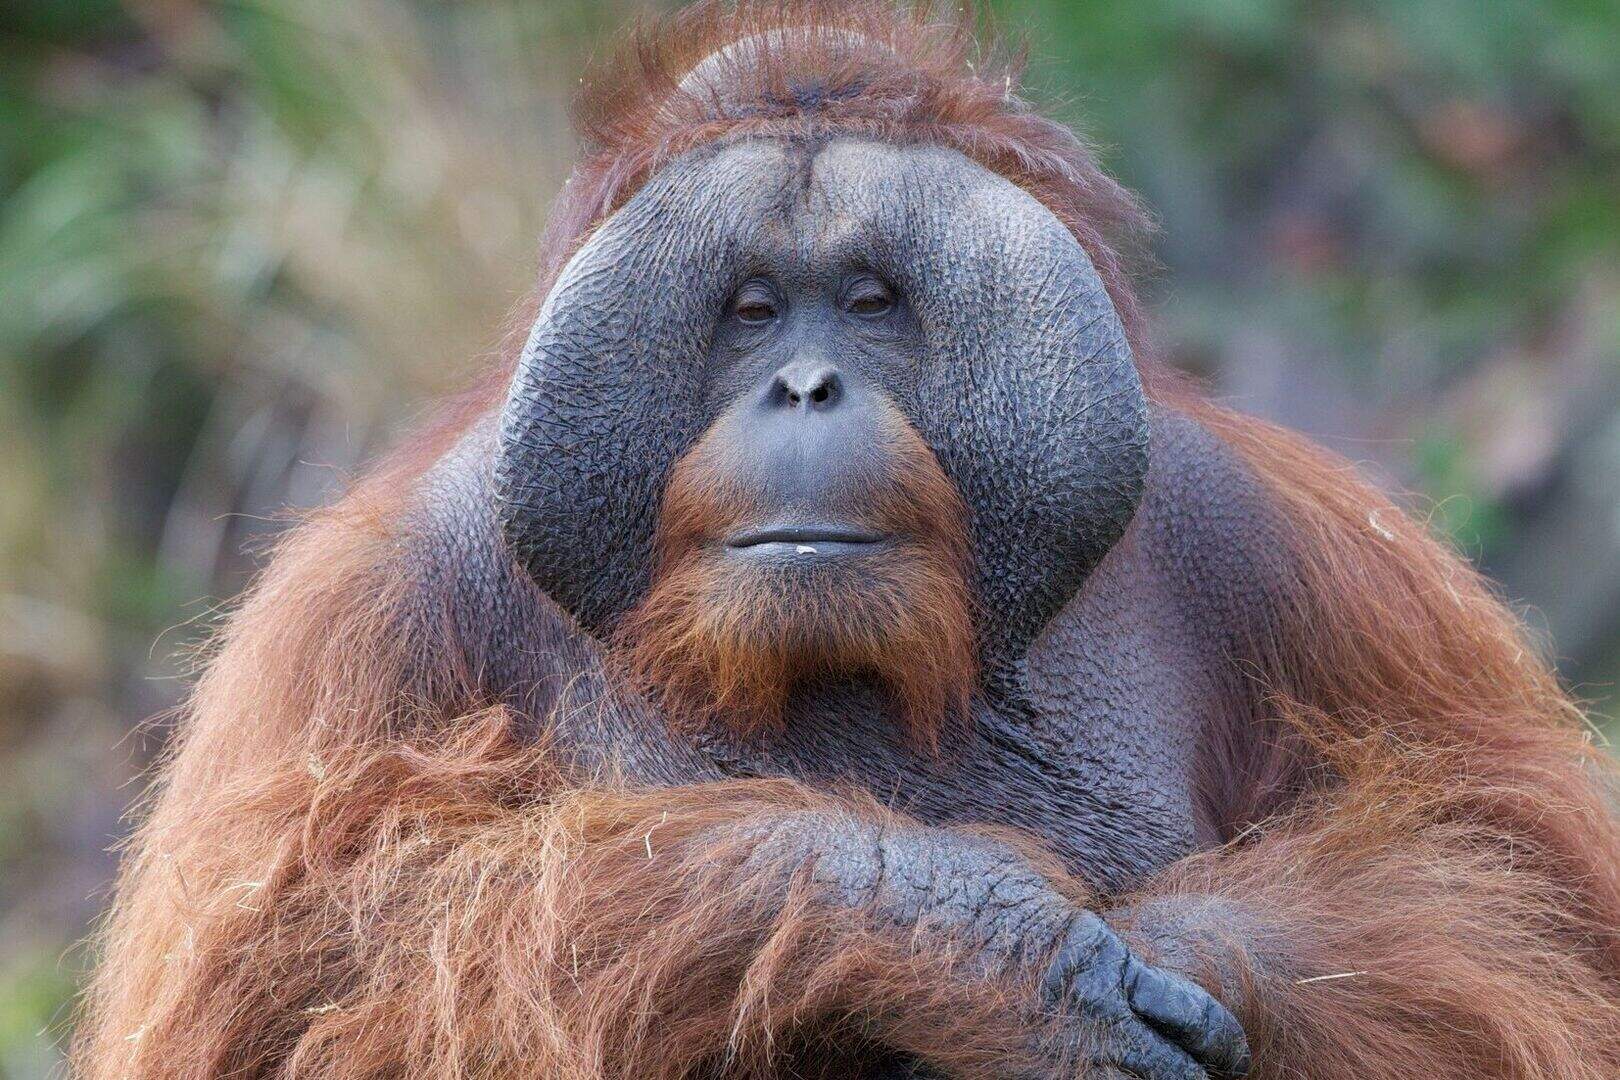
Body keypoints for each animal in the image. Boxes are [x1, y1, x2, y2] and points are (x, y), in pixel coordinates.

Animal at [77, 4, 1620, 1079]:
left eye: (872, 300)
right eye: (755, 309)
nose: (806, 385)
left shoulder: (1305, 549)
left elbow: (1530, 904)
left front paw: (1187, 946)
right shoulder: (364, 613)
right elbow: (300, 985)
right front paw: (983, 951)